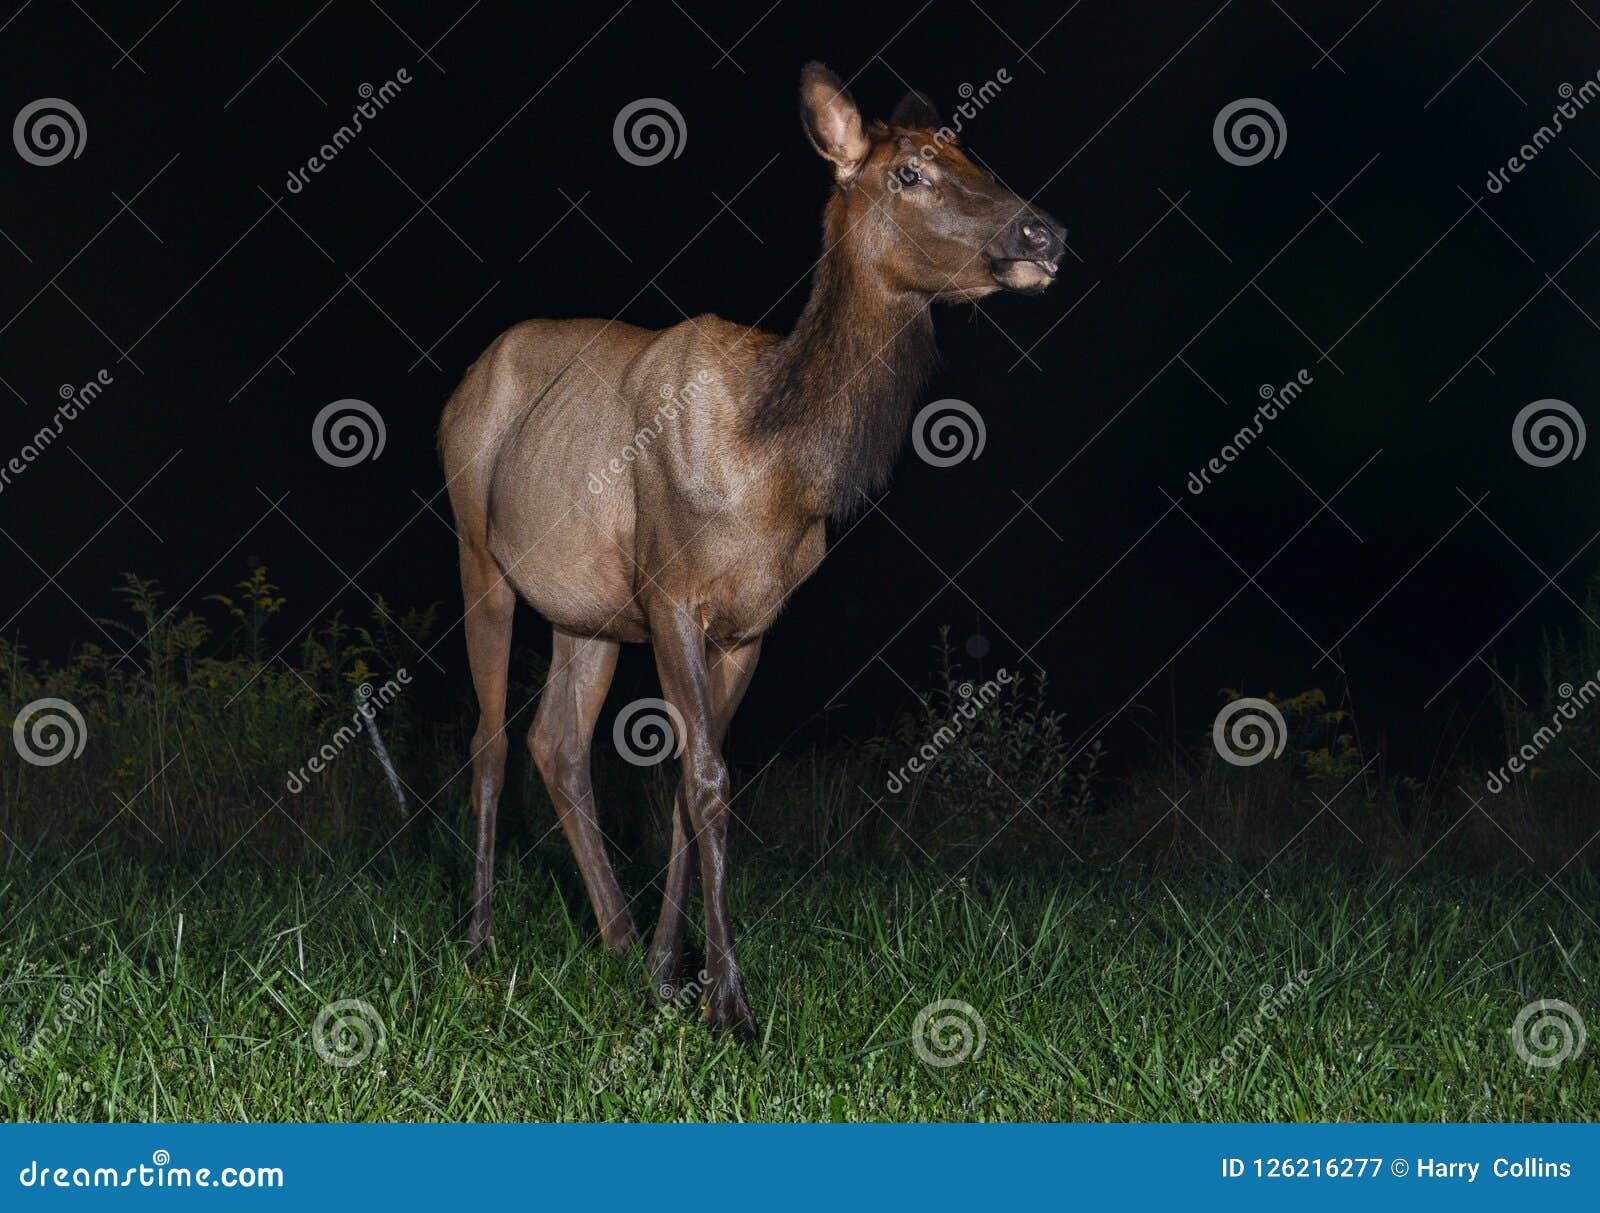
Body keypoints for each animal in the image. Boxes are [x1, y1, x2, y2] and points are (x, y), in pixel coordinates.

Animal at [437, 63, 1066, 1037]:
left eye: (975, 154)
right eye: (910, 173)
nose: (1046, 232)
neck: (777, 464)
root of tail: (463, 386)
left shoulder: (750, 622)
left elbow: (690, 794)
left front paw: (667, 971)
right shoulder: (670, 592)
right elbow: (704, 779)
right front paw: (727, 999)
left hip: (589, 608)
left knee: (557, 742)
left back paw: (614, 934)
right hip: (479, 548)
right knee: (491, 737)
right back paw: (480, 936)